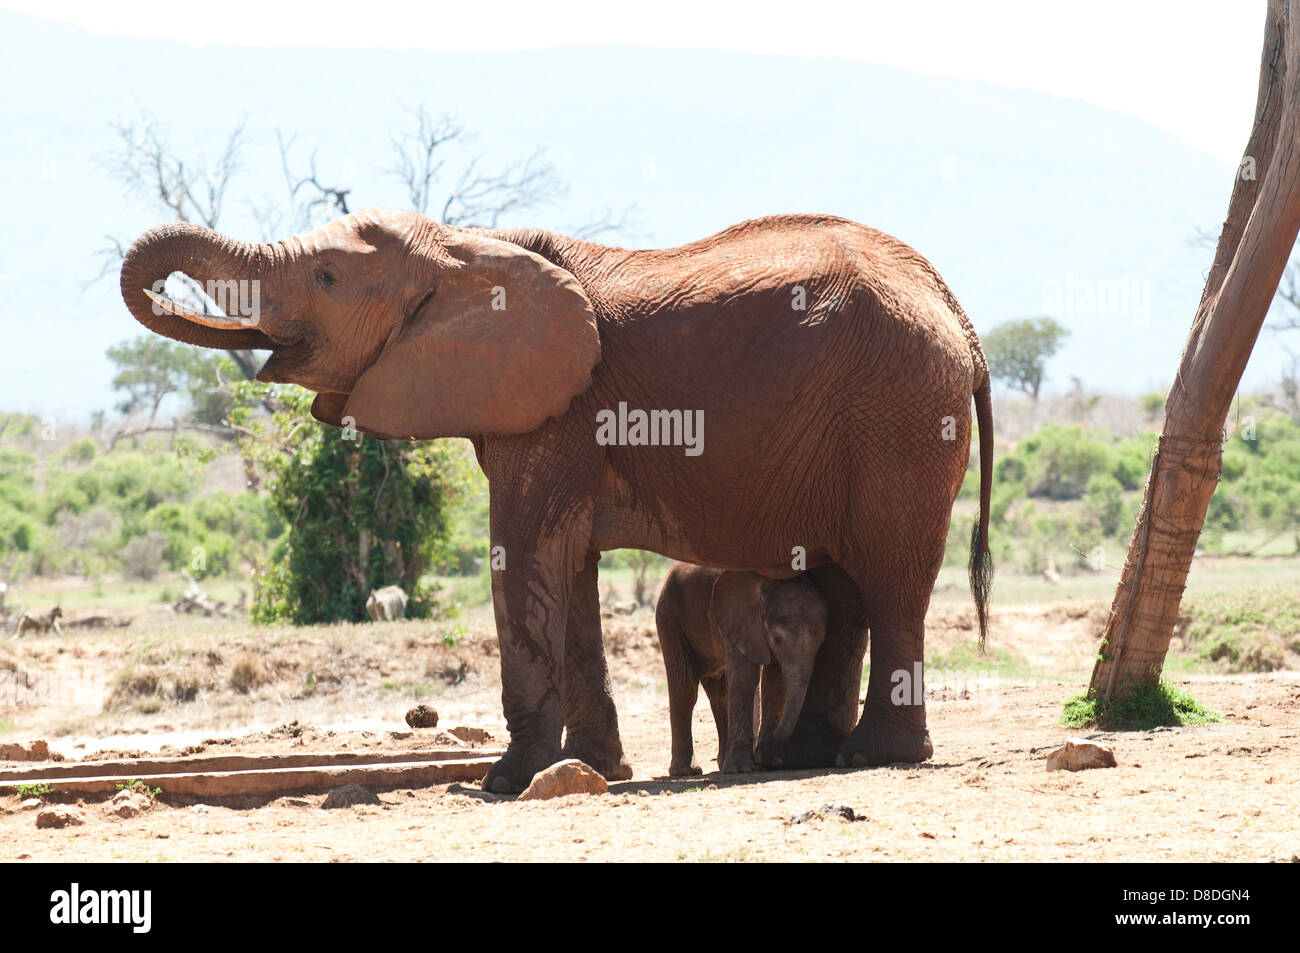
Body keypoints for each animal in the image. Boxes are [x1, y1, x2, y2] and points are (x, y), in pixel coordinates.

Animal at [655, 562, 828, 776]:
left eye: (821, 642)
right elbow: (745, 677)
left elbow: (775, 681)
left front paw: (768, 762)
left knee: (719, 694)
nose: (778, 739)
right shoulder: (739, 618)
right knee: (685, 689)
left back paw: (721, 764)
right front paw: (741, 769)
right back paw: (687, 771)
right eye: (777, 639)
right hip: (669, 615)